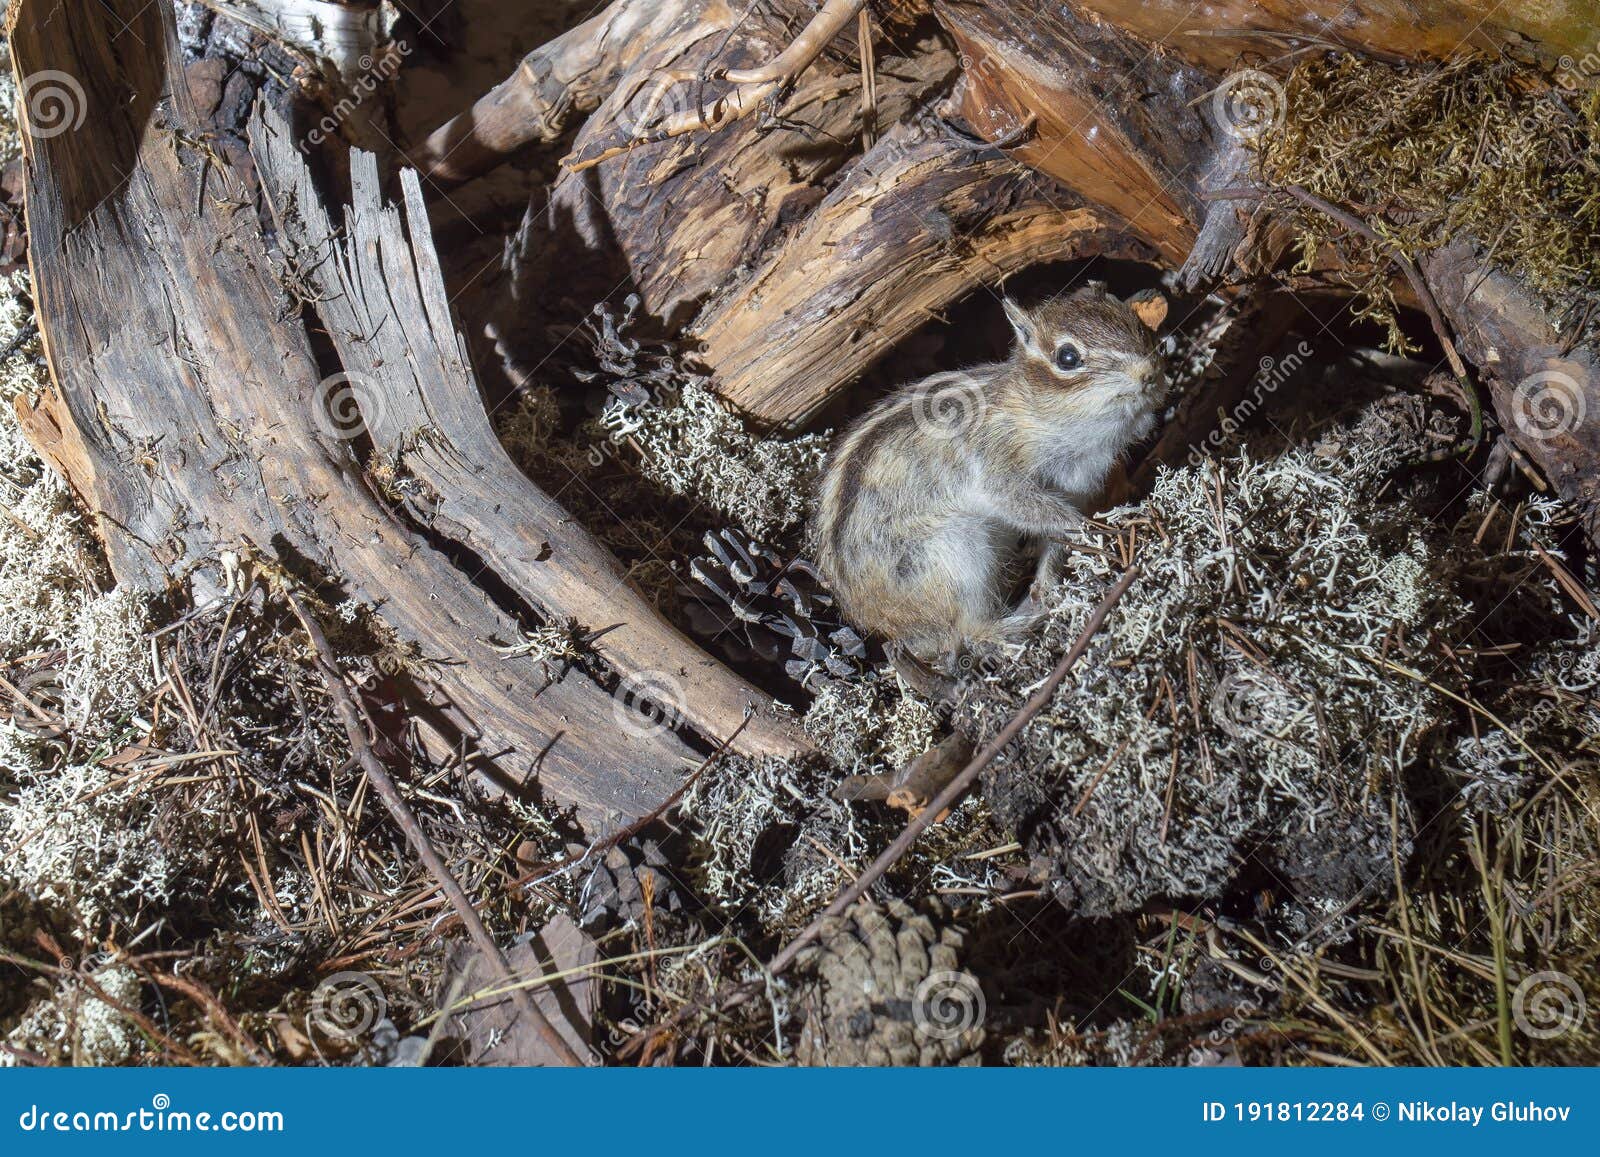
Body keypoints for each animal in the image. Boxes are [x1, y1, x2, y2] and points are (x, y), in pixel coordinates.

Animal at [814, 283, 1169, 668]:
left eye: (1133, 321)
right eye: (1067, 357)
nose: (1149, 372)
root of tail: (877, 622)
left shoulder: (1077, 488)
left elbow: (1054, 541)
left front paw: (1048, 584)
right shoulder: (998, 469)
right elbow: (1035, 508)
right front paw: (1101, 530)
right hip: (957, 554)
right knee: (967, 633)